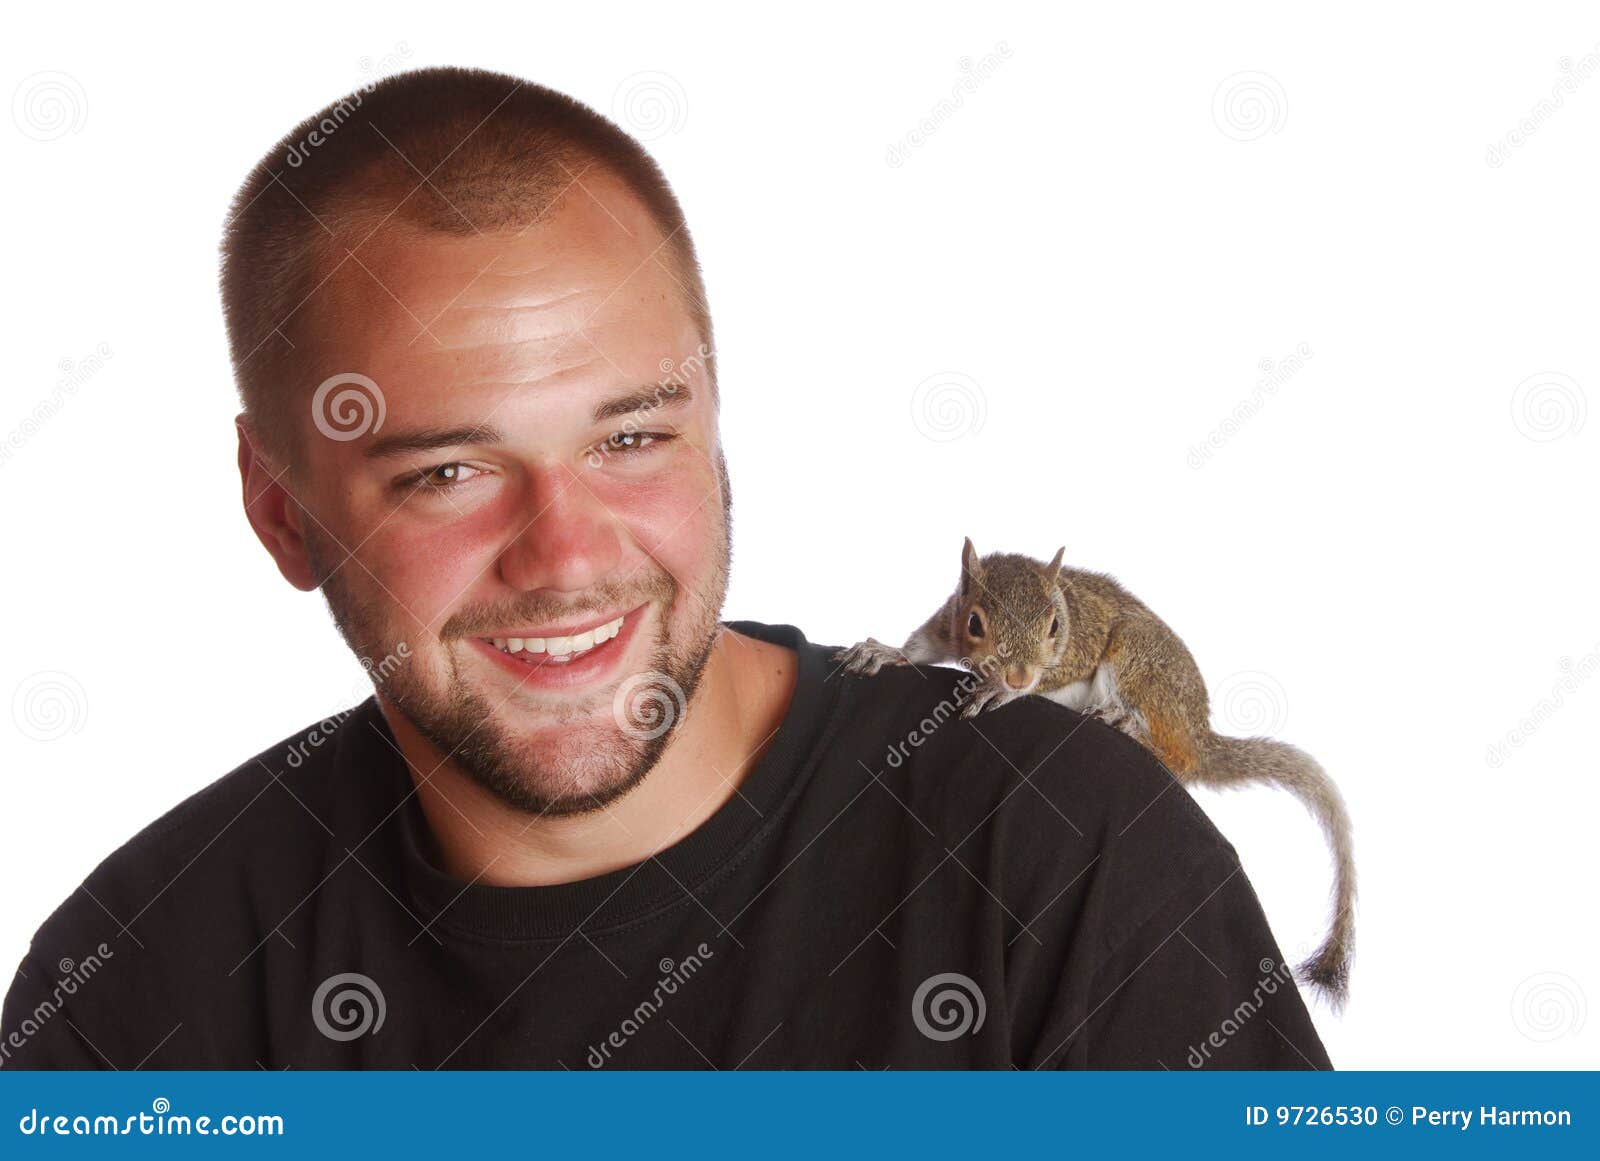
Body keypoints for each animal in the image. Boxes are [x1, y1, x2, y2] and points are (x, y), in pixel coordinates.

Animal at [834, 537, 1356, 1010]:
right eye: (975, 622)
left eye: (1054, 626)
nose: (1018, 676)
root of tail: (1198, 733)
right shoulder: (946, 621)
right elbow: (922, 644)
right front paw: (888, 652)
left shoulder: (1076, 652)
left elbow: (1053, 676)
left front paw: (1001, 691)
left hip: (1138, 660)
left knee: (1173, 754)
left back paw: (1126, 724)